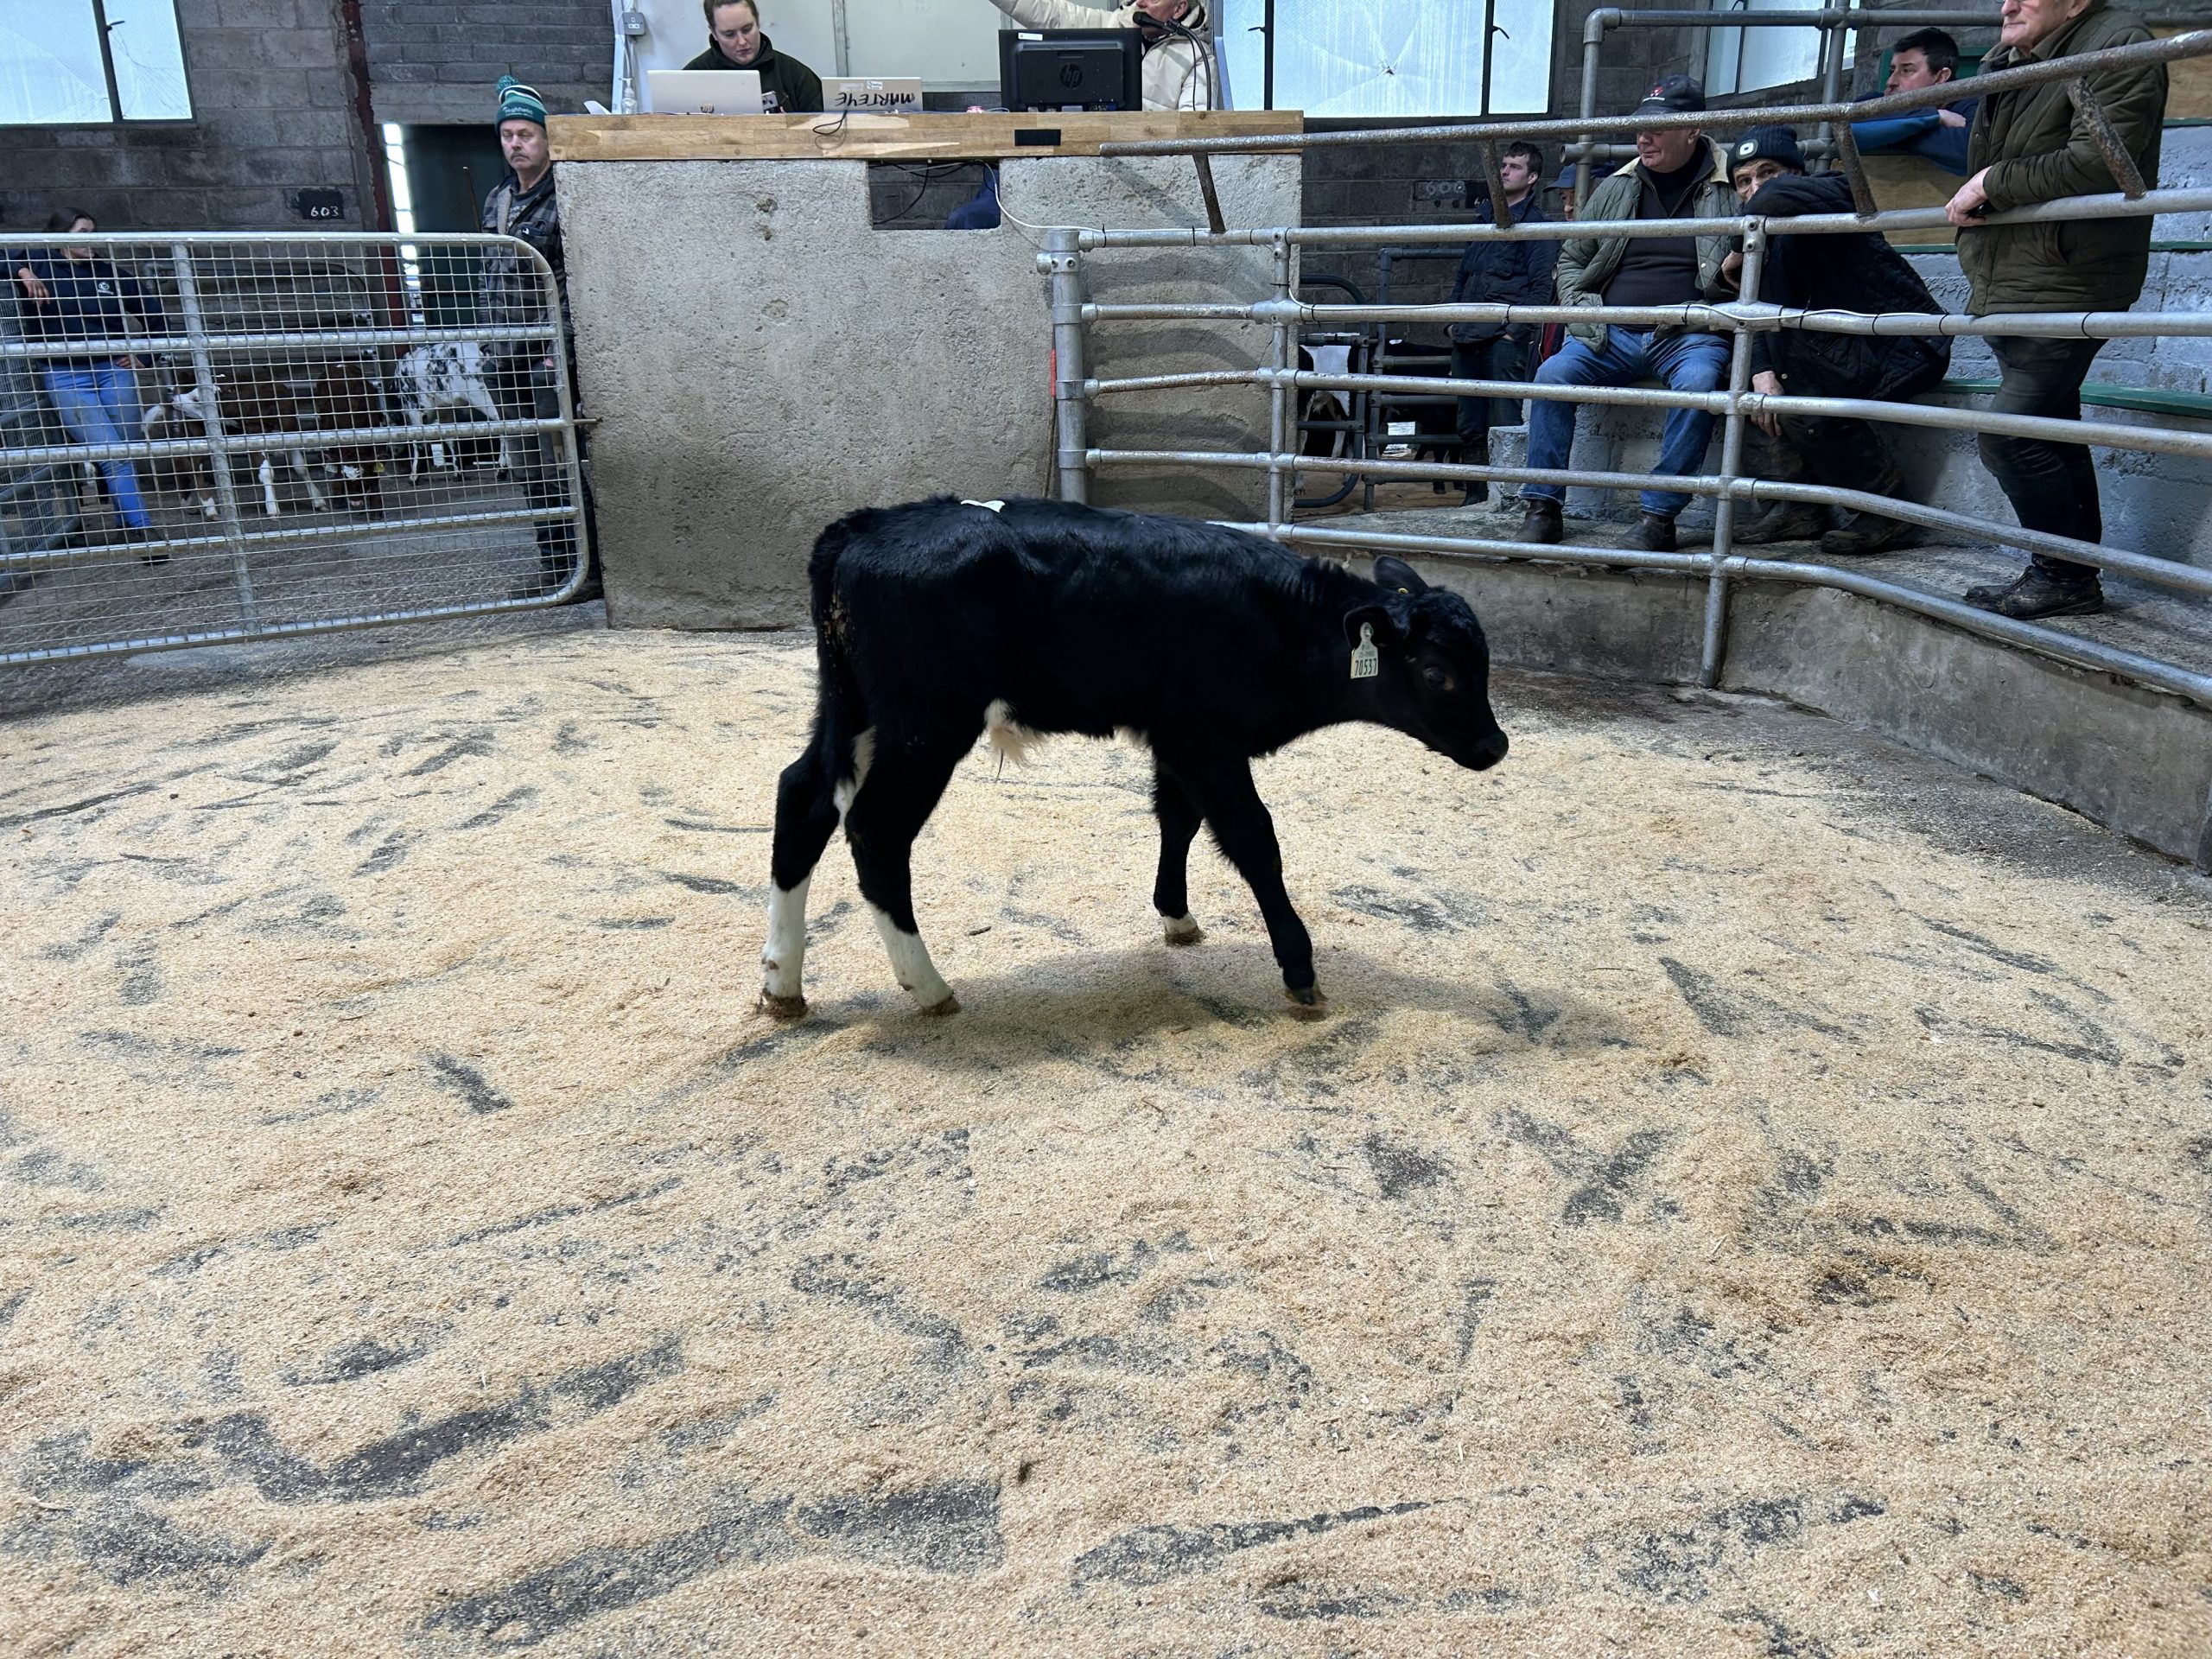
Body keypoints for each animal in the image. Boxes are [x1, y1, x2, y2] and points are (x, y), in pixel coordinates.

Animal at [759, 497, 1509, 1021]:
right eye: (1438, 672)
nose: (1495, 745)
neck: (1276, 620)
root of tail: (863, 525)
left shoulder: (1175, 739)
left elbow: (1177, 818)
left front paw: (1176, 917)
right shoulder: (1207, 740)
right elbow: (1254, 842)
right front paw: (1300, 972)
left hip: (852, 712)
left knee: (803, 798)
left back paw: (783, 985)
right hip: (926, 727)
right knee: (875, 830)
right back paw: (928, 986)